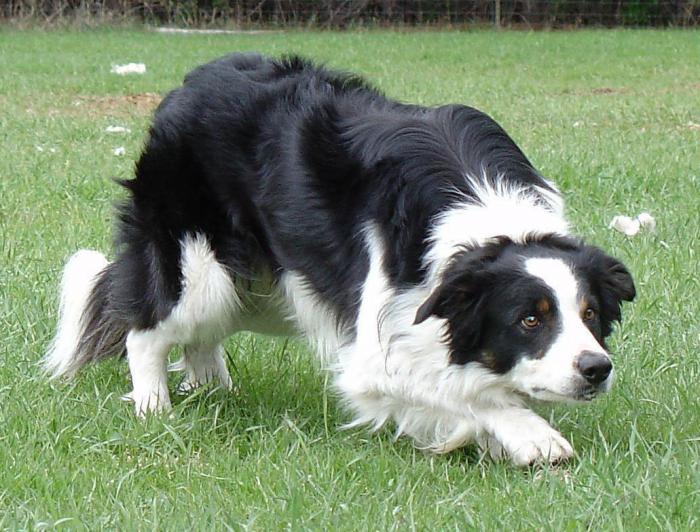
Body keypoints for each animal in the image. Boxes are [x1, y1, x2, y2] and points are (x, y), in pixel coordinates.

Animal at [42, 52, 636, 464]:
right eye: (530, 319)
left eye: (589, 315)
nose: (596, 369)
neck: (491, 227)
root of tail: (187, 85)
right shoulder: (377, 343)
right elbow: (458, 388)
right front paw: (530, 436)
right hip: (202, 268)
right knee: (148, 327)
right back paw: (155, 404)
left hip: (268, 289)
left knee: (203, 336)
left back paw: (213, 390)